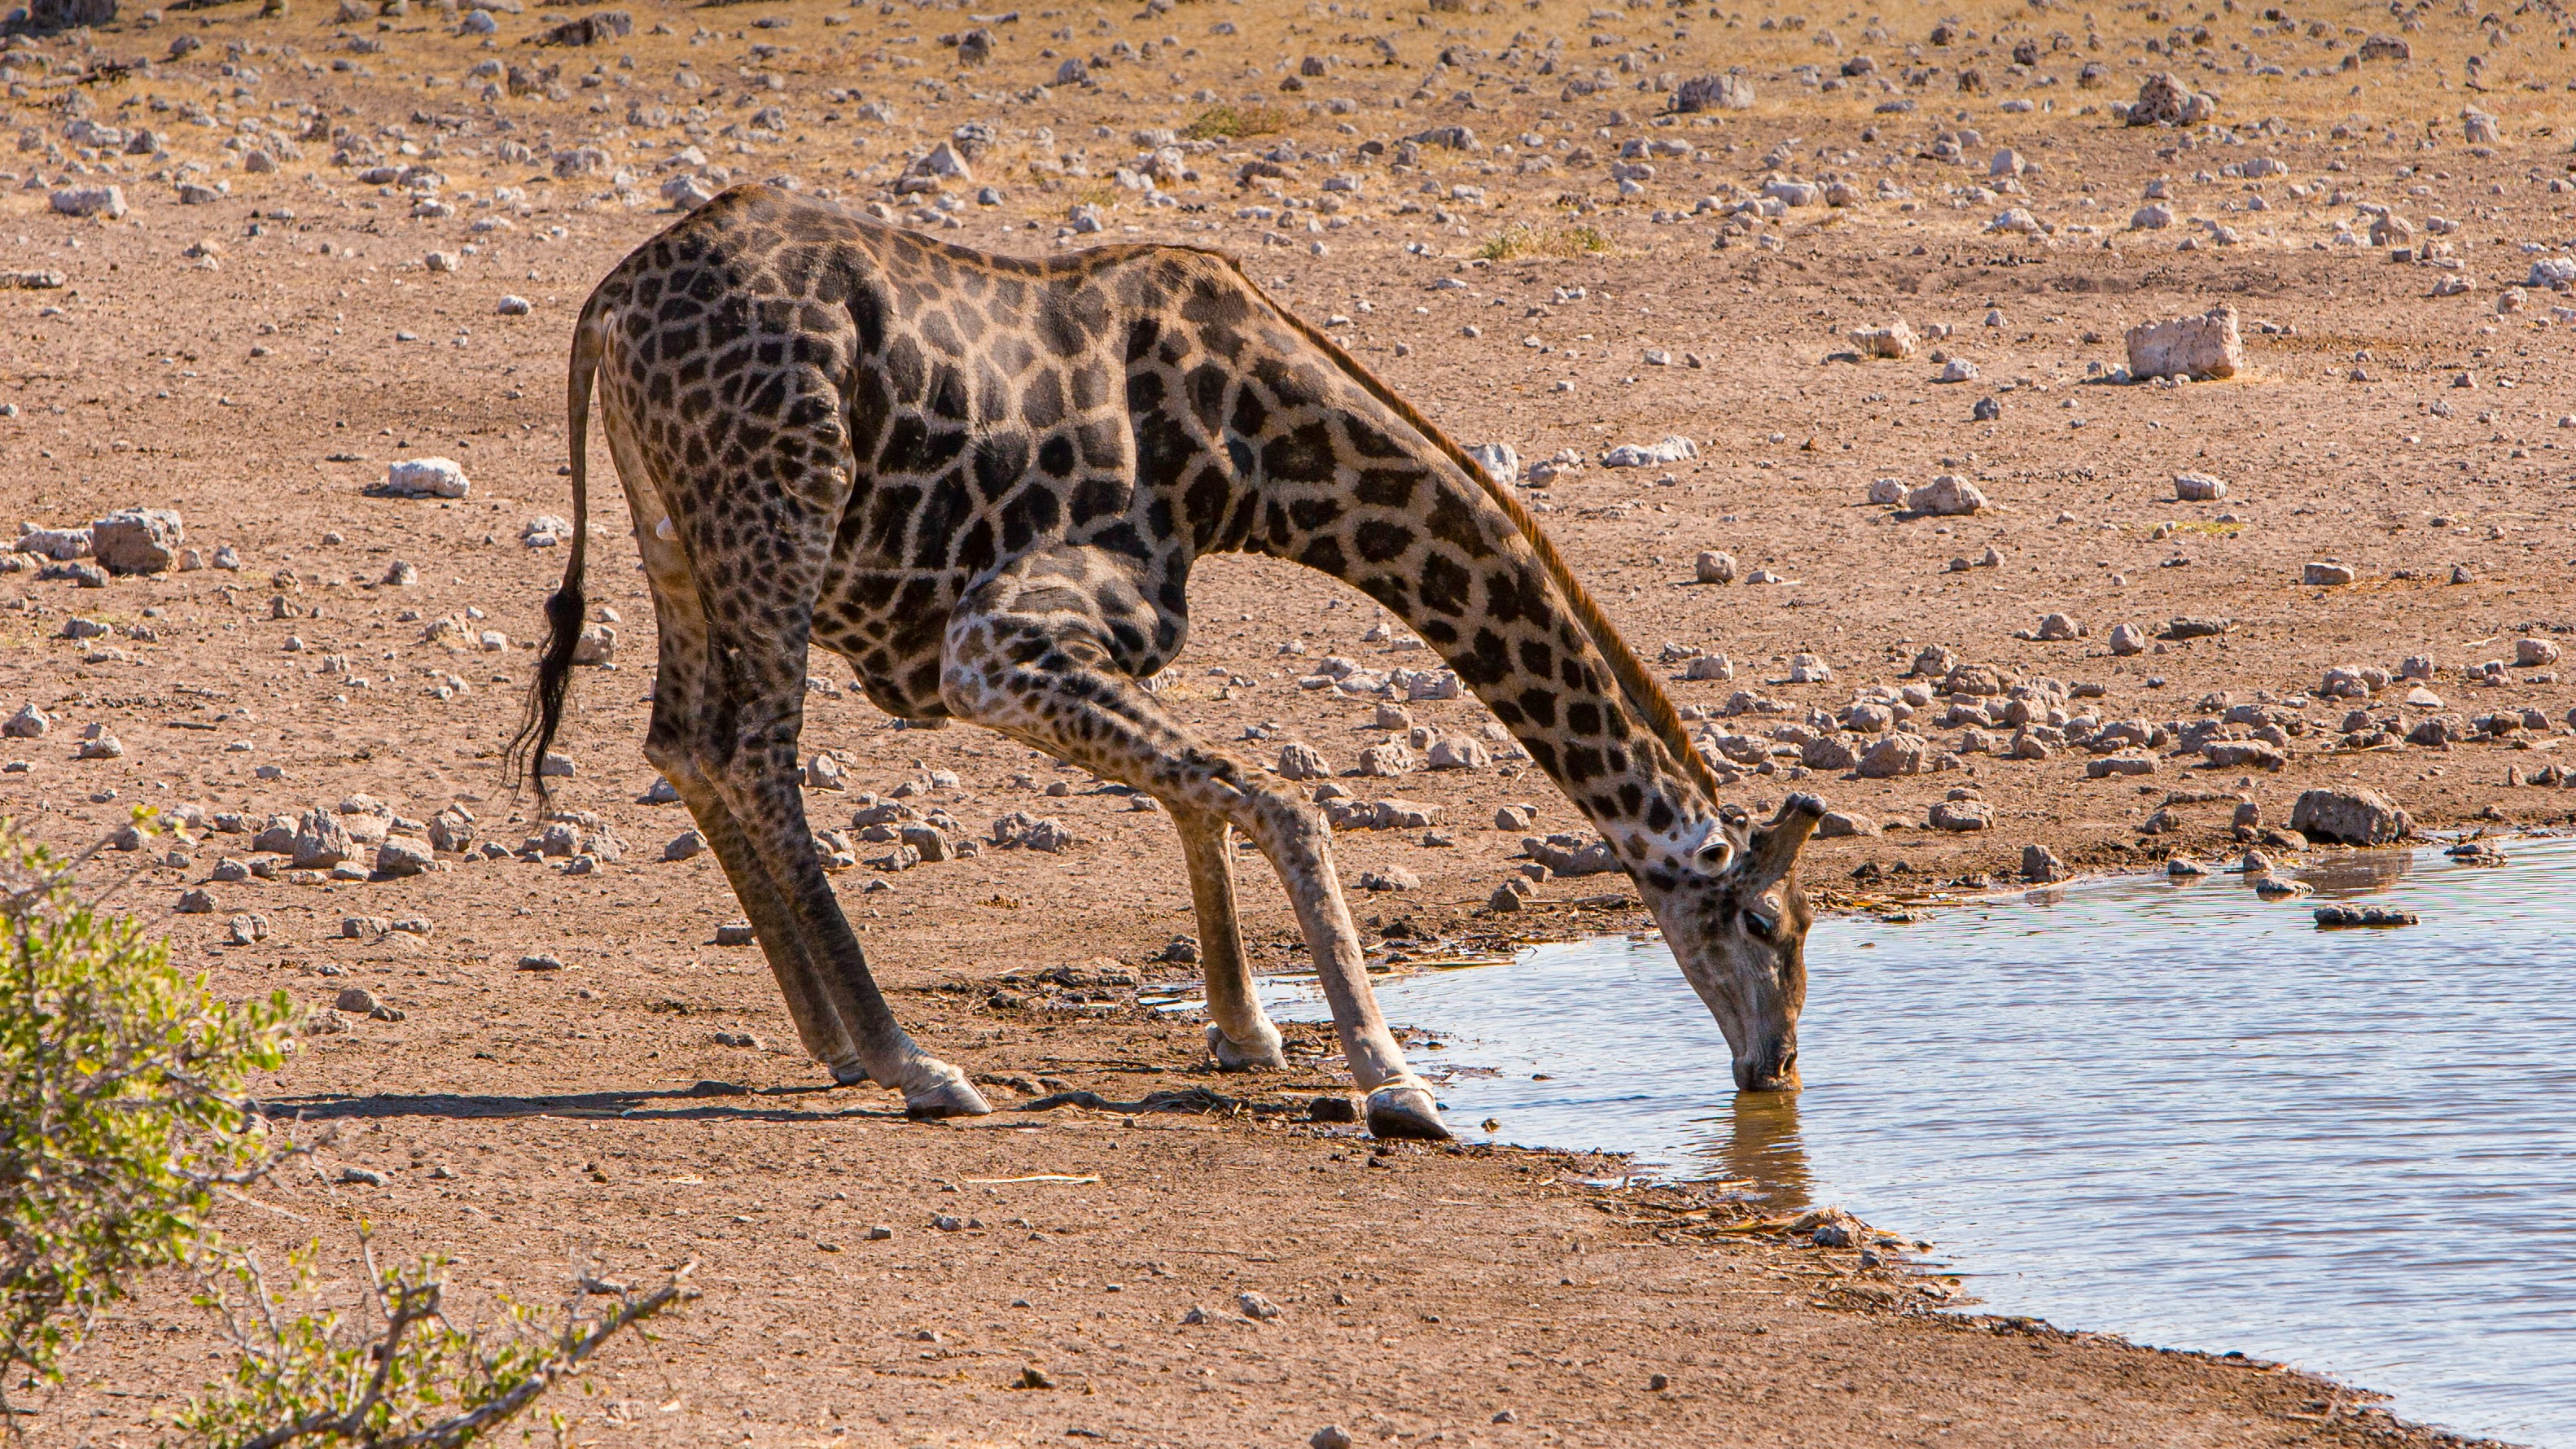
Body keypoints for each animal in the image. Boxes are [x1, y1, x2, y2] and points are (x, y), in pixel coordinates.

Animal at [512, 185, 1823, 1140]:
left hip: (674, 527)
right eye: (1768, 927)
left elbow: (1204, 795)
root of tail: (606, 306)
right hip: (780, 509)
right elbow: (1283, 798)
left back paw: (834, 1041)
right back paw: (910, 1061)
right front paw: (1392, 1078)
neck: (1257, 460)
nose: (1776, 1071)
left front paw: (1246, 1030)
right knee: (756, 751)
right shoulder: (993, 644)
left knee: (684, 740)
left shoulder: (1082, 642)